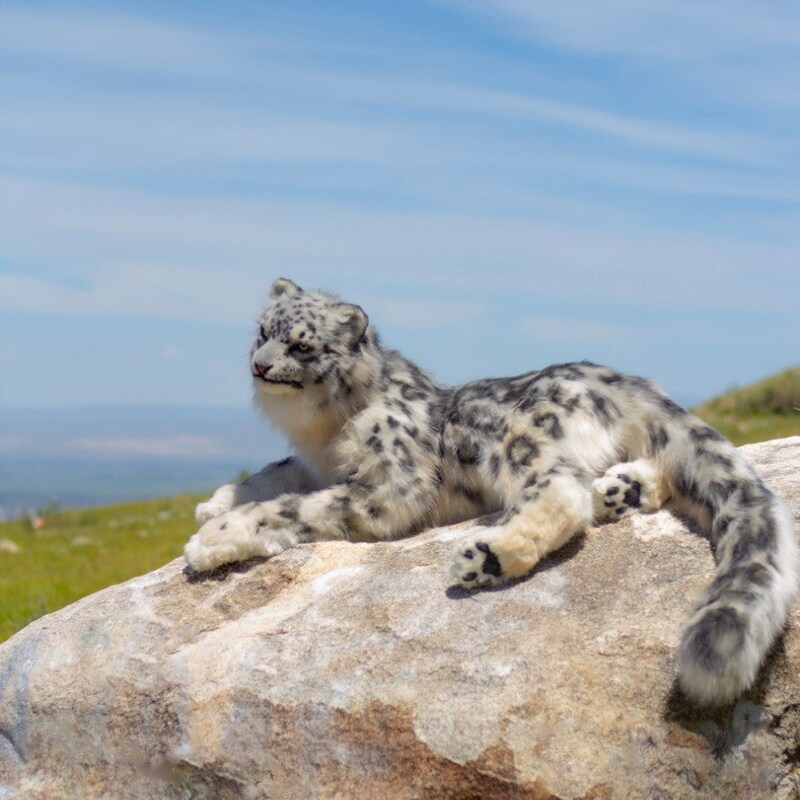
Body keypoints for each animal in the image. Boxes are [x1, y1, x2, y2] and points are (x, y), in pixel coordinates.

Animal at [184, 277, 799, 705]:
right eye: (262, 332)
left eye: (301, 345)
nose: (260, 365)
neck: (326, 430)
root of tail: (624, 380)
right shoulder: (315, 463)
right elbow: (275, 472)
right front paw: (214, 502)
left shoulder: (390, 485)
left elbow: (293, 506)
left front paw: (212, 538)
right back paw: (618, 491)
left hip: (514, 441)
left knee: (563, 494)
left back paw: (489, 556)